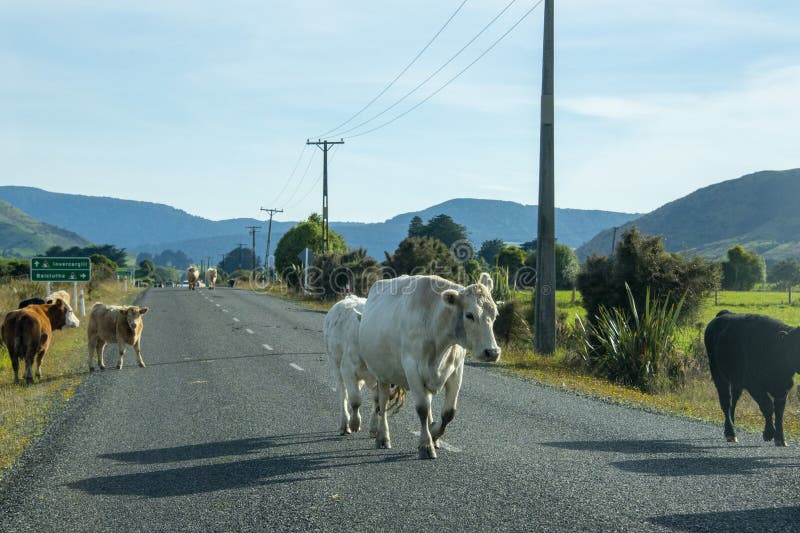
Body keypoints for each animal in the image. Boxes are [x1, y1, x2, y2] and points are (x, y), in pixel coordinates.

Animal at [324, 295, 404, 436]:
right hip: (335, 365)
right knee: (343, 394)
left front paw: (374, 428)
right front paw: (354, 424)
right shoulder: (347, 369)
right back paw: (344, 424)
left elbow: (377, 401)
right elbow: (355, 400)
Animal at [358, 273, 501, 459]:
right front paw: (426, 444)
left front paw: (433, 434)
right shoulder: (412, 369)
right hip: (381, 374)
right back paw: (383, 436)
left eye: (495, 314)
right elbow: (422, 409)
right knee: (382, 403)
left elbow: (449, 412)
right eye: (470, 315)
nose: (492, 352)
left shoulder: (456, 371)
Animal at [705, 310, 800, 446]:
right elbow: (767, 406)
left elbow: (779, 413)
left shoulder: (783, 389)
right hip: (718, 374)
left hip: (736, 381)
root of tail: (724, 313)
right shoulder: (754, 385)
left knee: (733, 401)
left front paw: (780, 439)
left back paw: (731, 425)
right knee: (726, 402)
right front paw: (769, 433)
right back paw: (730, 432)